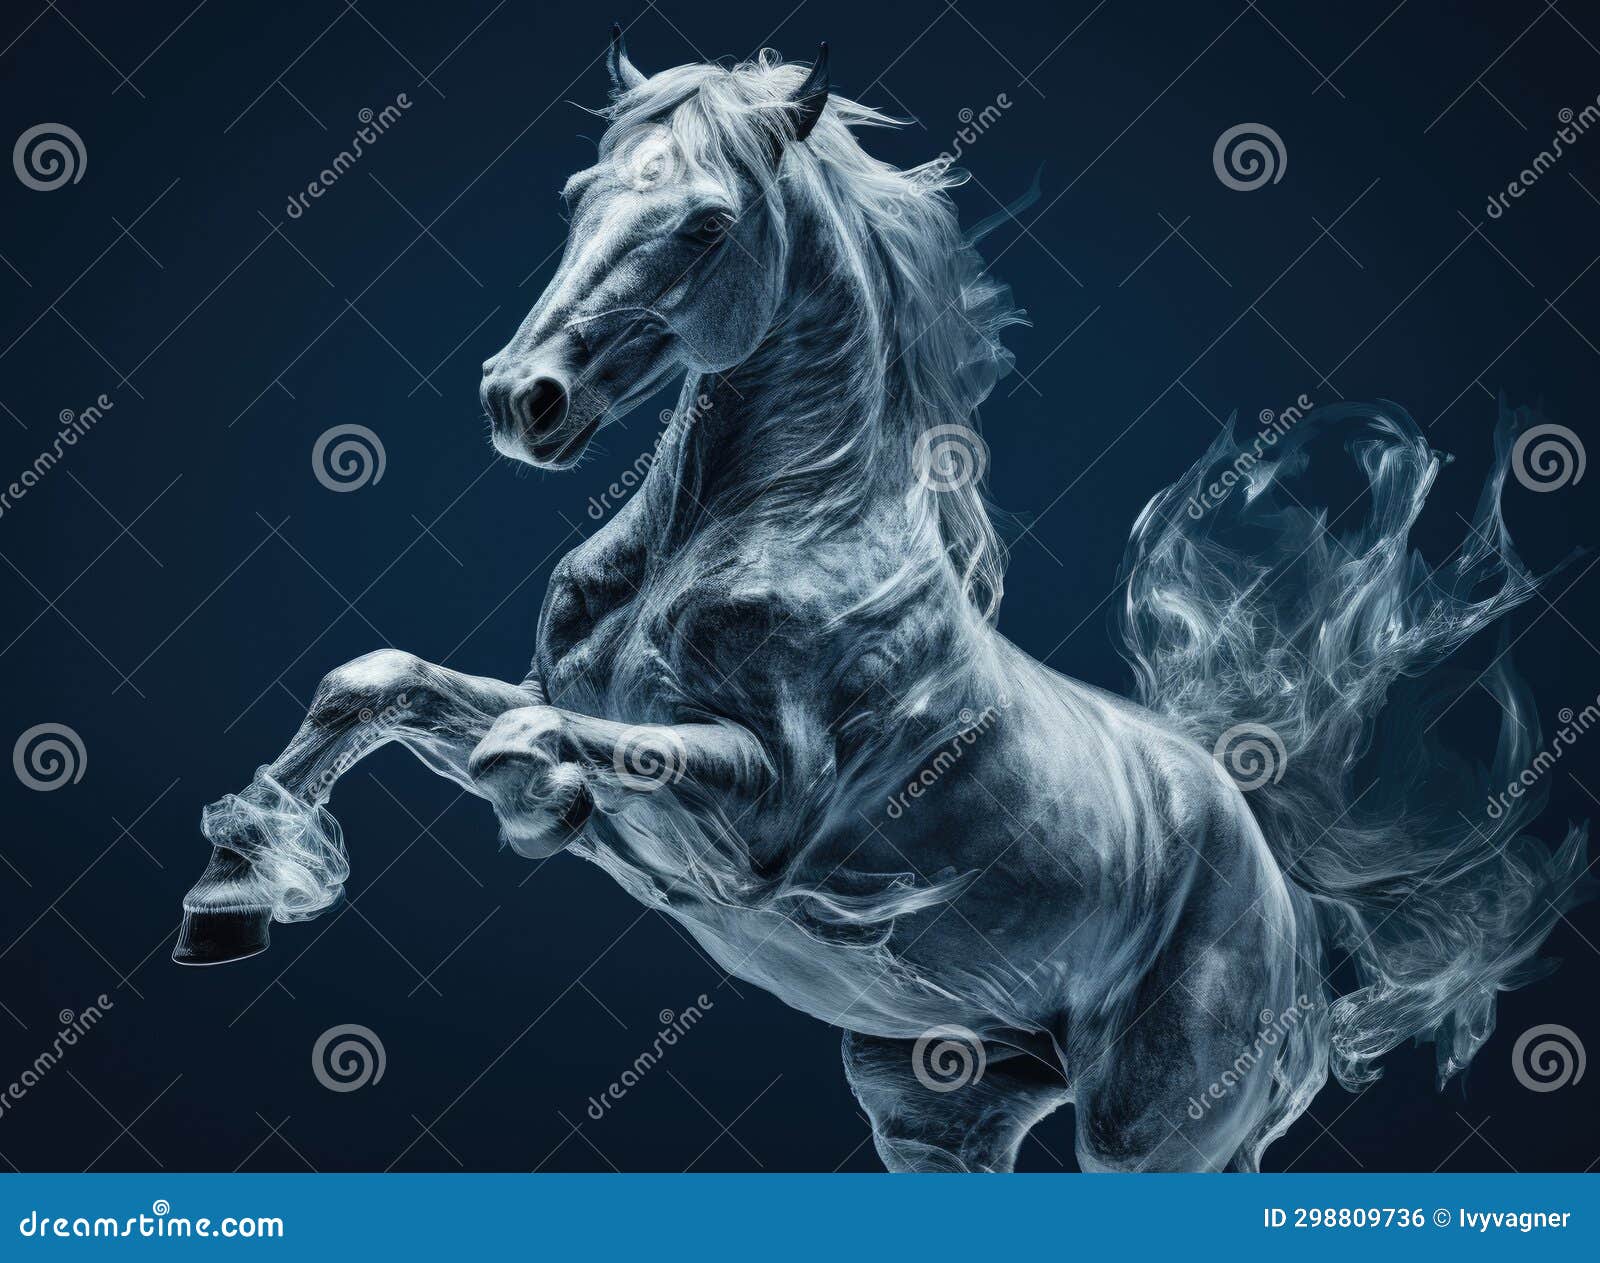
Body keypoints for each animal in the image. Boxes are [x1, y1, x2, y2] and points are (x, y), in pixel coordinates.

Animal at [174, 32, 1591, 1172]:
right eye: (581, 196)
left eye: (703, 224)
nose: (523, 400)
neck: (751, 533)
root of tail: (1293, 916)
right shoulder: (538, 695)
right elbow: (381, 683)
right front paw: (234, 889)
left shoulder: (766, 819)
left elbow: (532, 745)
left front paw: (538, 807)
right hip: (939, 1110)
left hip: (1158, 1136)